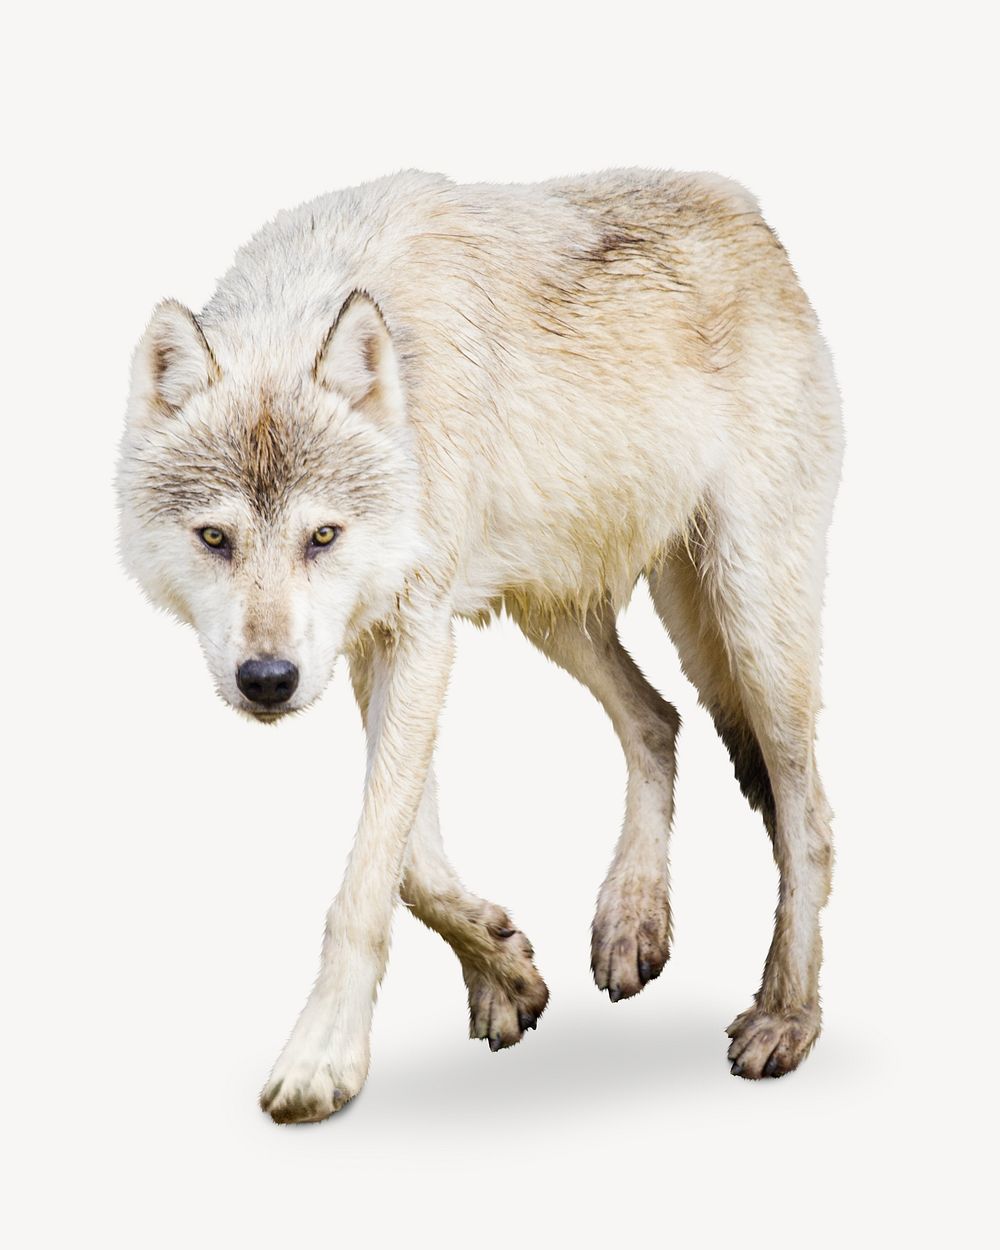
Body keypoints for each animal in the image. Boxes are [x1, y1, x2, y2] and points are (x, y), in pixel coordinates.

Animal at [117, 169, 842, 1123]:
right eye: (214, 539)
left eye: (321, 537)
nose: (268, 679)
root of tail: (749, 211)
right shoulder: (375, 642)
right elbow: (413, 867)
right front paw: (504, 971)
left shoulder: (418, 633)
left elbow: (370, 877)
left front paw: (322, 1056)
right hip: (560, 612)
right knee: (659, 719)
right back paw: (632, 919)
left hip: (749, 620)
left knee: (806, 814)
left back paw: (785, 1013)